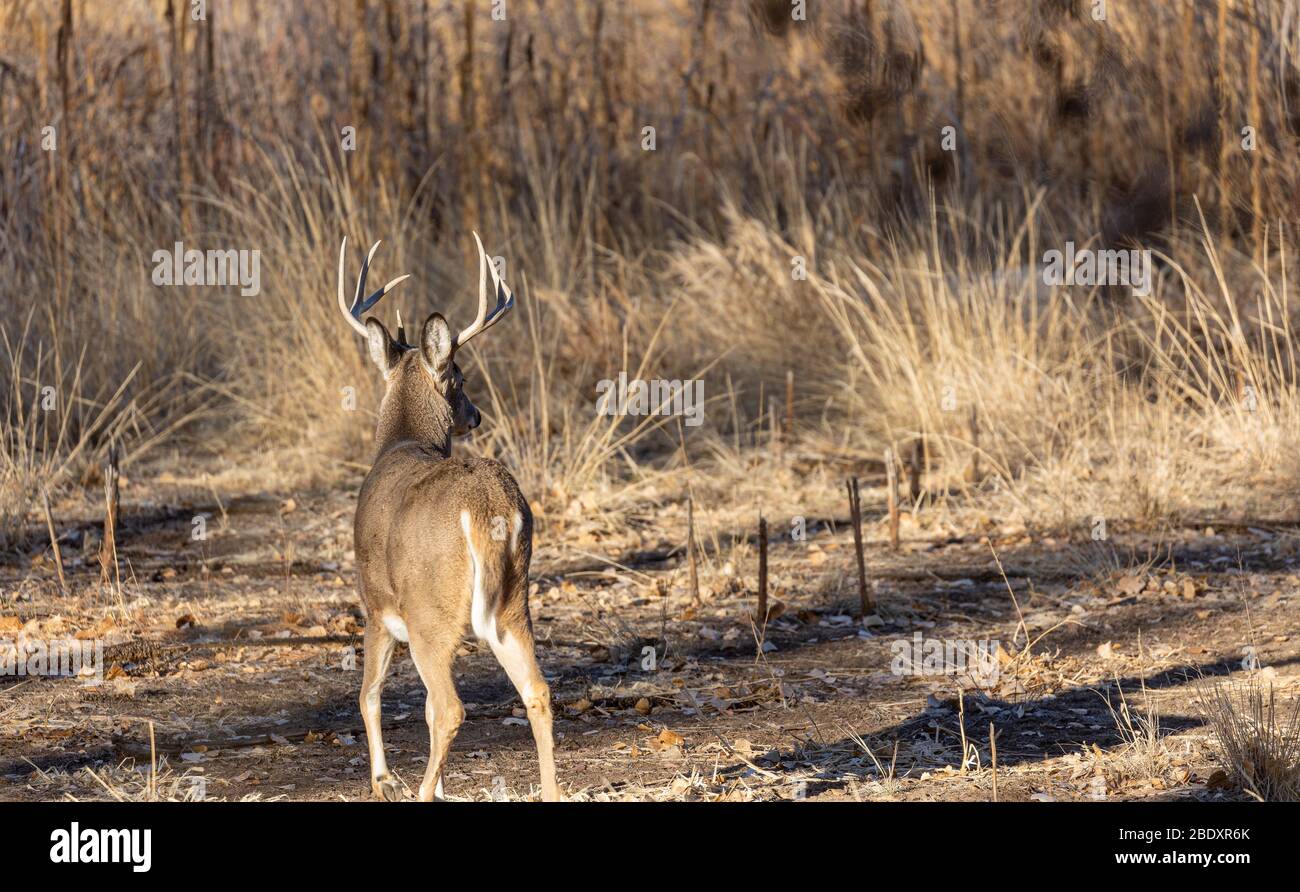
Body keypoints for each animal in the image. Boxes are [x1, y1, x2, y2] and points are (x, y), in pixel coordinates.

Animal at [336, 233, 558, 802]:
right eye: (461, 378)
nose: (475, 415)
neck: (401, 443)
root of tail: (489, 508)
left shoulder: (377, 607)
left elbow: (369, 694)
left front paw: (381, 779)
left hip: (429, 610)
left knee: (451, 707)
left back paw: (418, 791)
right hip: (512, 601)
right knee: (537, 689)